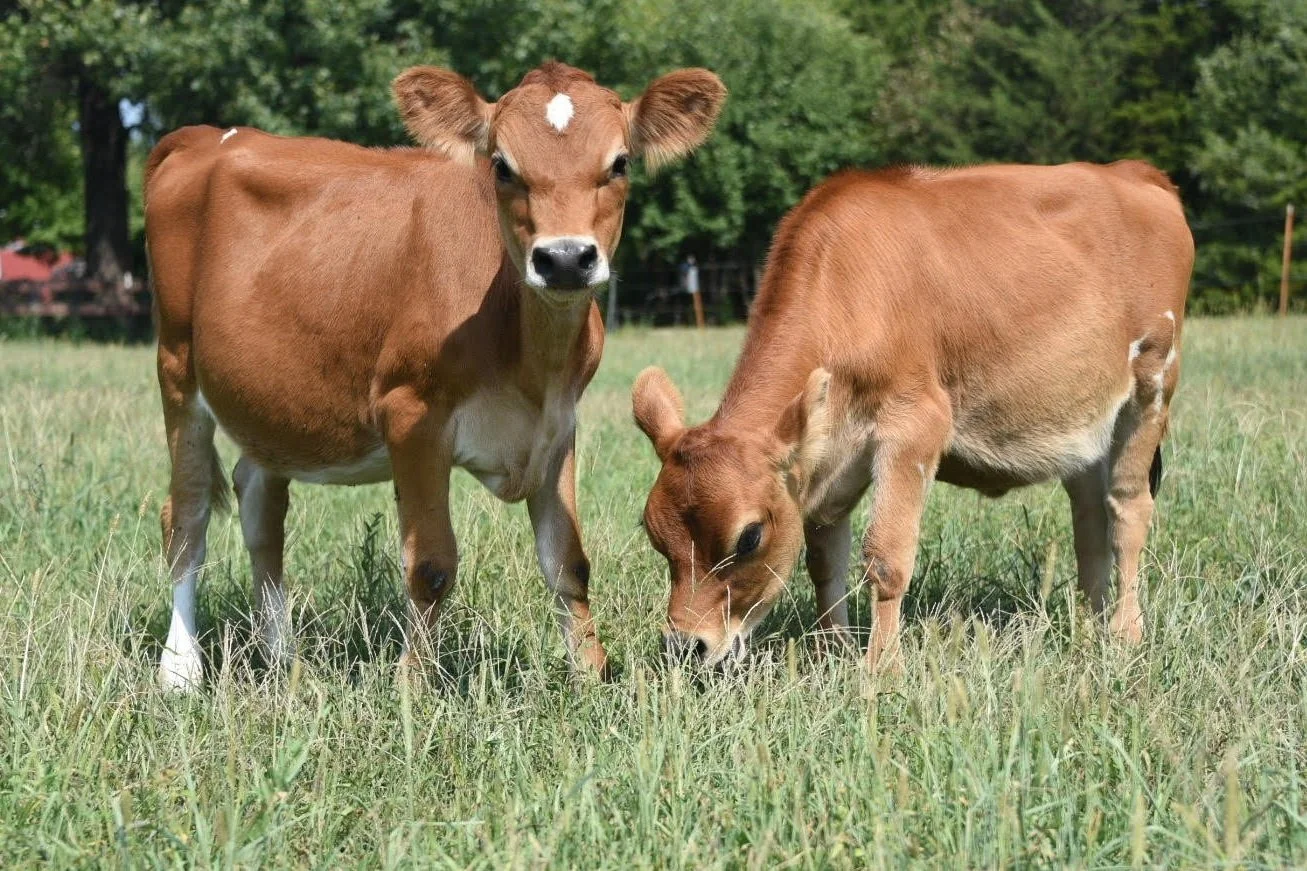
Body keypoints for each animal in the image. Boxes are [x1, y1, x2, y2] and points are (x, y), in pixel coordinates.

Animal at [145, 61, 726, 690]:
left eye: (619, 163)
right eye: (502, 165)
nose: (566, 259)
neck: (528, 359)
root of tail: (203, 137)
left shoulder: (558, 424)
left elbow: (568, 561)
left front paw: (592, 677)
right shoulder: (412, 414)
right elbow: (431, 566)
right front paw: (411, 685)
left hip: (273, 400)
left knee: (260, 506)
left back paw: (283, 658)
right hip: (177, 368)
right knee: (186, 518)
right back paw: (181, 668)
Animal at [632, 161, 1193, 670]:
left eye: (748, 537)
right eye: (655, 534)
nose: (686, 647)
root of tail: (1138, 174)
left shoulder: (915, 424)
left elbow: (885, 559)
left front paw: (881, 670)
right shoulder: (829, 460)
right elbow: (824, 557)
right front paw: (832, 652)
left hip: (1153, 382)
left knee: (1128, 510)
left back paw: (1124, 634)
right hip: (1084, 426)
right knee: (1089, 518)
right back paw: (1089, 629)